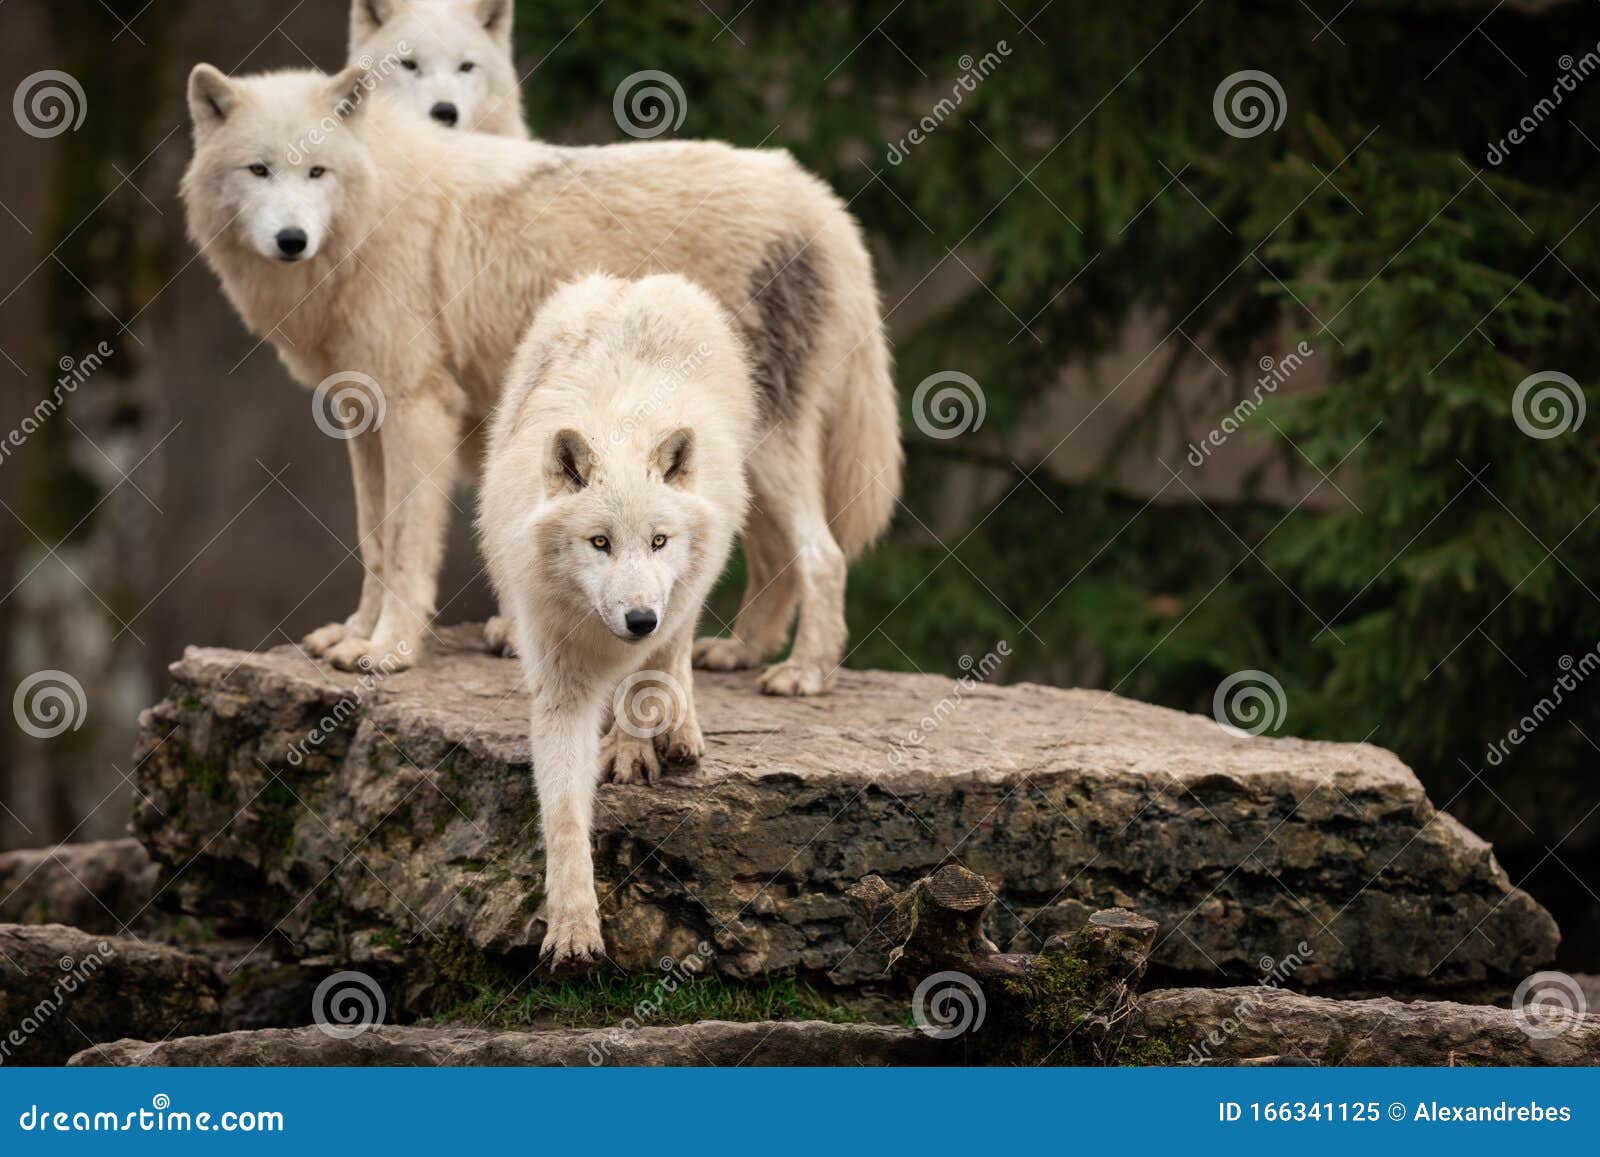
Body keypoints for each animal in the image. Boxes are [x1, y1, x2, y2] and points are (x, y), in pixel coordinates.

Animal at [180, 62, 900, 695]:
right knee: (778, 553)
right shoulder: (362, 415)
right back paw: (740, 649)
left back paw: (804, 674)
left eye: (316, 171)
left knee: (824, 554)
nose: (291, 239)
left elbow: (407, 545)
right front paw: (355, 632)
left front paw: (388, 650)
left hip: (762, 446)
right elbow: (374, 538)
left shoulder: (419, 408)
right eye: (259, 170)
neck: (375, 207)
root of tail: (822, 200)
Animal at [479, 272, 754, 964]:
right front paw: (574, 926)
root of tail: (633, 280)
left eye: (657, 541)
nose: (637, 618)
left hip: (695, 584)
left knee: (675, 659)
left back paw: (679, 732)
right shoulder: (560, 685)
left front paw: (635, 750)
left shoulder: (668, 609)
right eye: (600, 543)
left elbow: (644, 687)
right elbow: (562, 813)